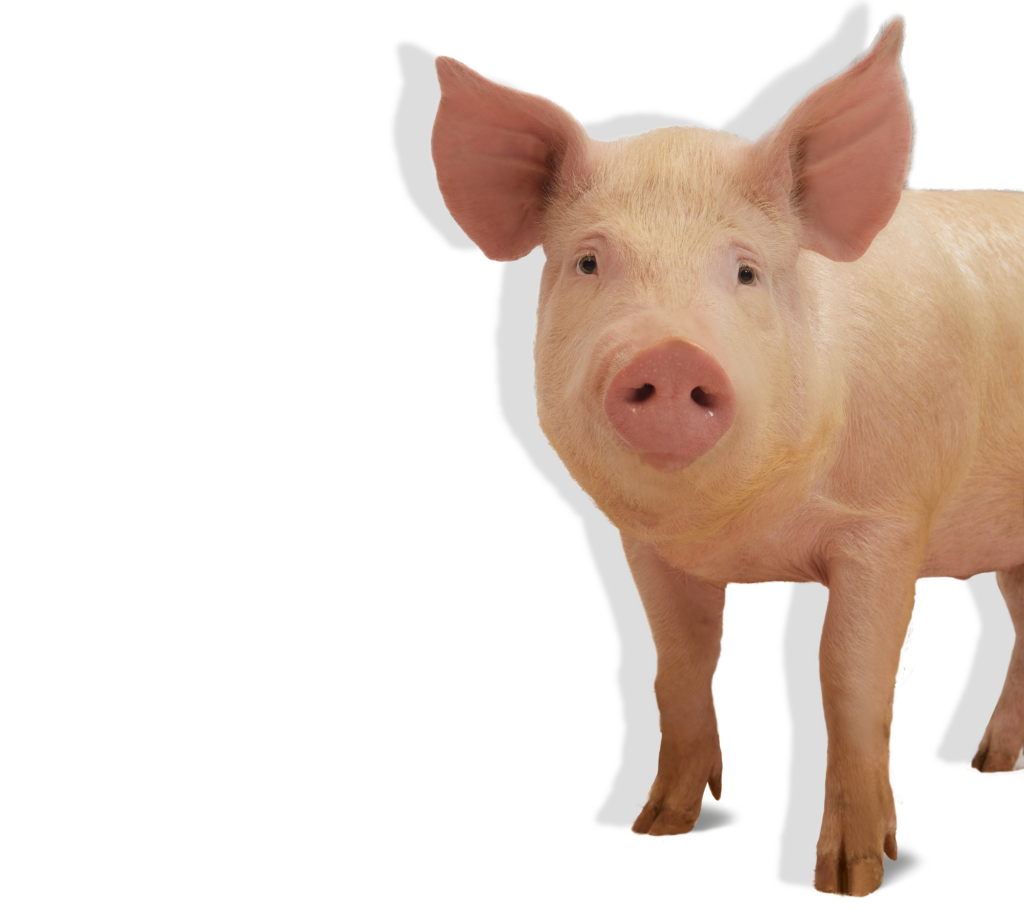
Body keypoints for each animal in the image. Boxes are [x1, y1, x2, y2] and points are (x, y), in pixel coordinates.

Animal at [426, 10, 1024, 898]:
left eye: (745, 270)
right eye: (589, 261)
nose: (672, 354)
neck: (741, 536)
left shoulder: (887, 524)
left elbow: (848, 679)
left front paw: (849, 878)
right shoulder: (646, 546)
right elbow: (677, 666)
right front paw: (658, 826)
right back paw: (991, 767)